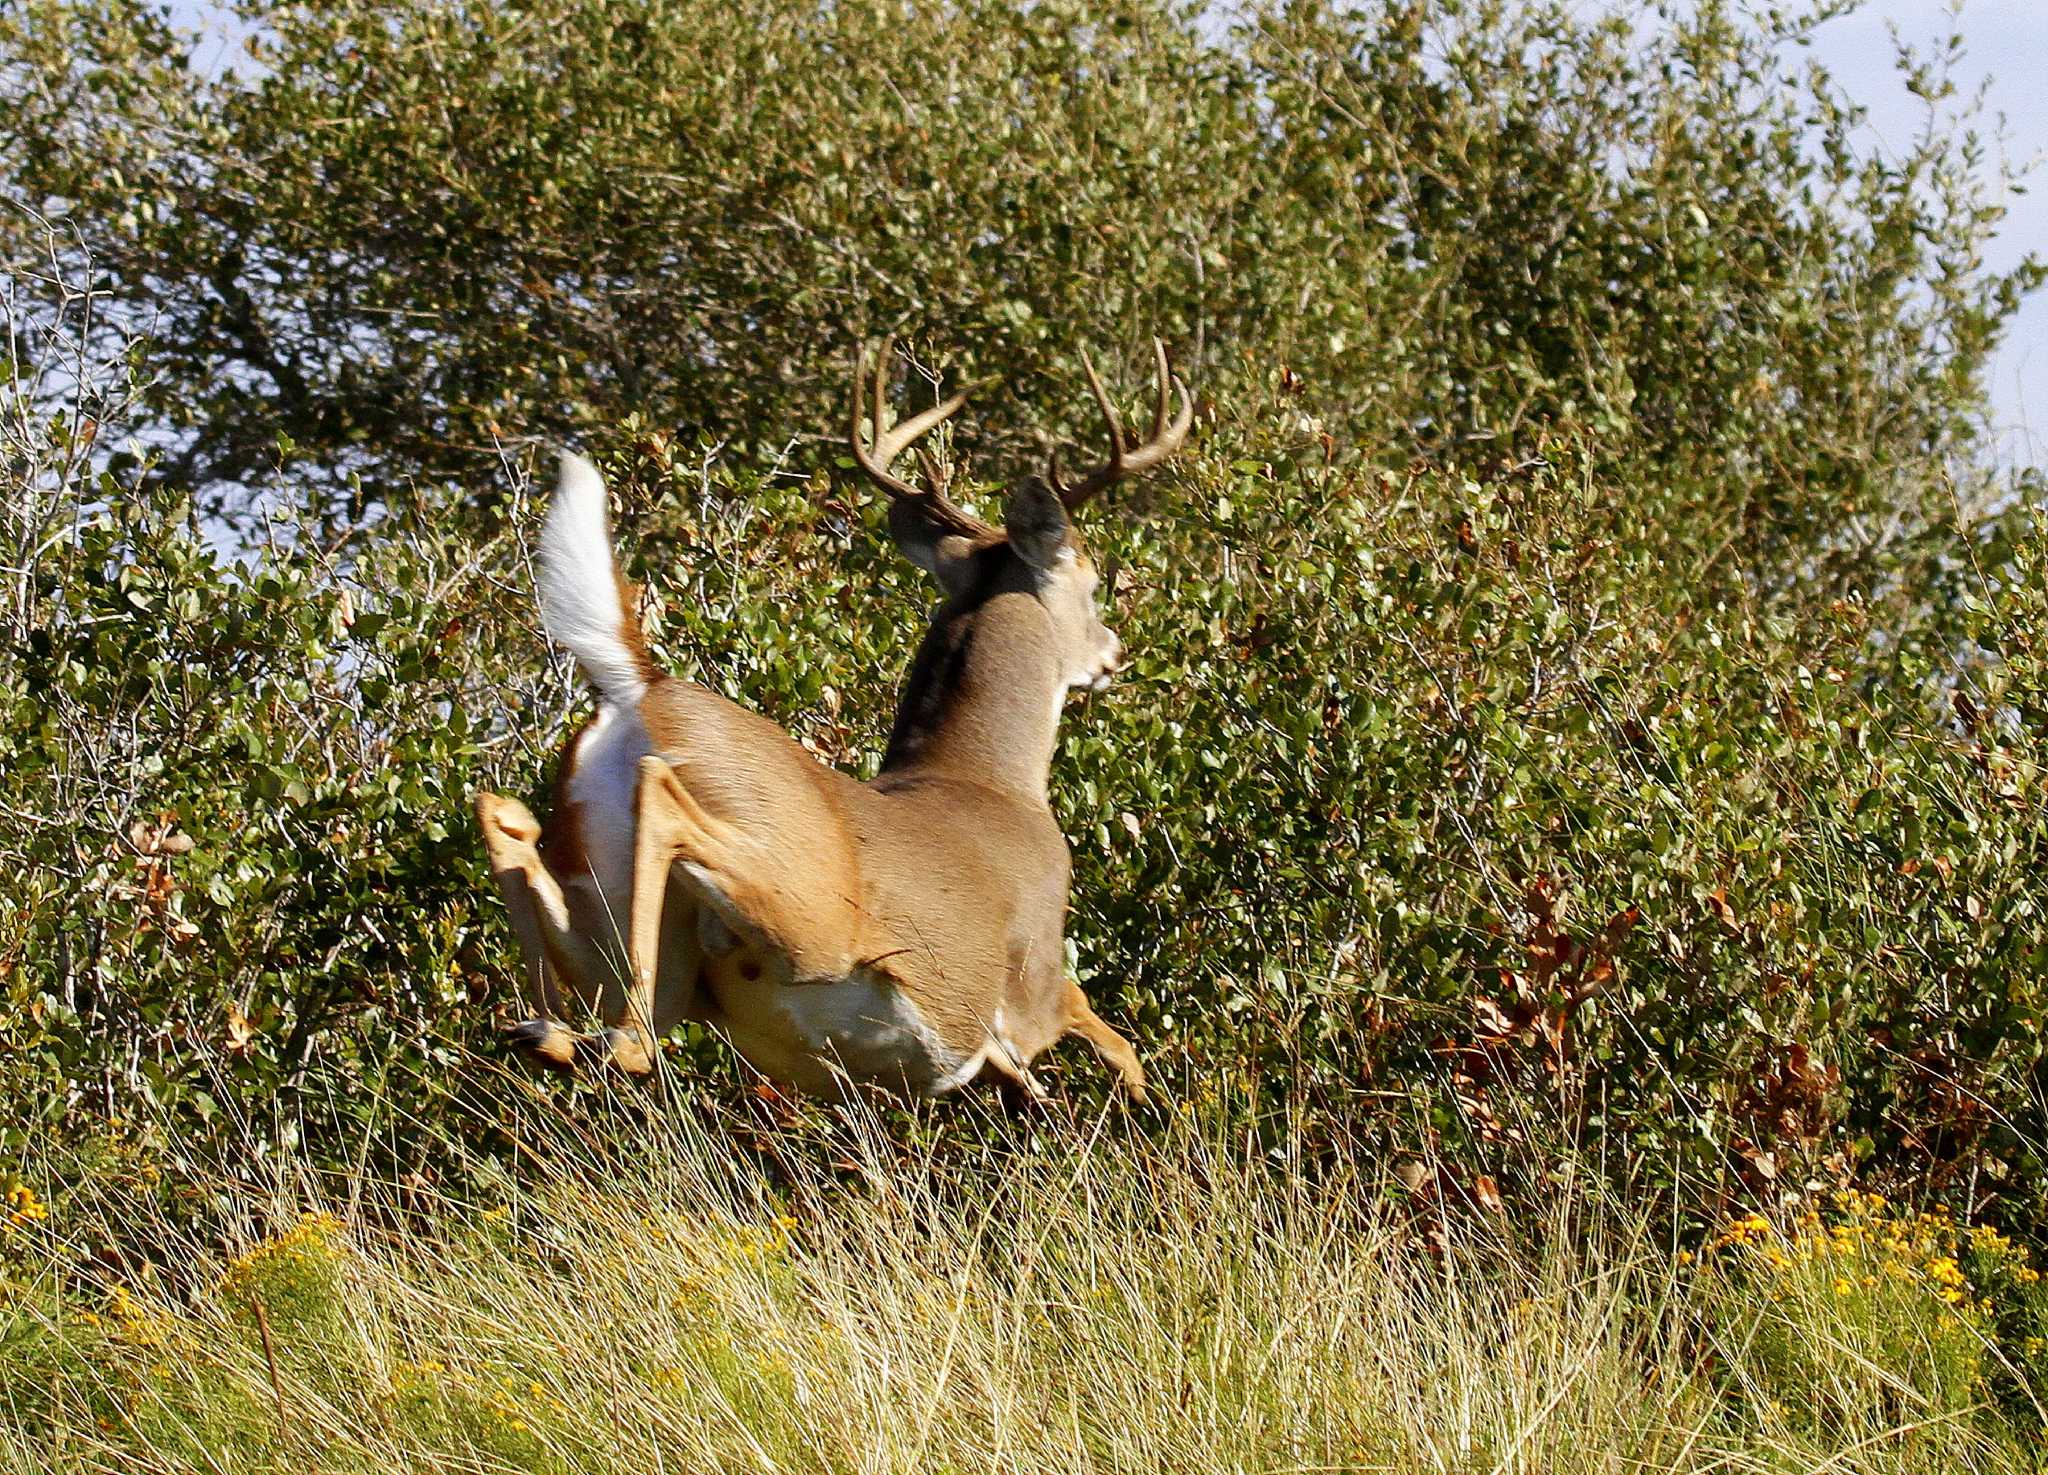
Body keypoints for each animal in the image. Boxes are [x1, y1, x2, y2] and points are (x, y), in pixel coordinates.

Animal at [472, 340, 1190, 1101]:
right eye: (1091, 581)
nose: (1114, 651)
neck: (992, 780)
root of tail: (644, 685)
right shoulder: (1034, 990)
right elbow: (1112, 1037)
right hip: (808, 912)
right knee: (658, 808)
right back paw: (602, 1039)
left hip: (624, 920)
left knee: (507, 817)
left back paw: (546, 1032)